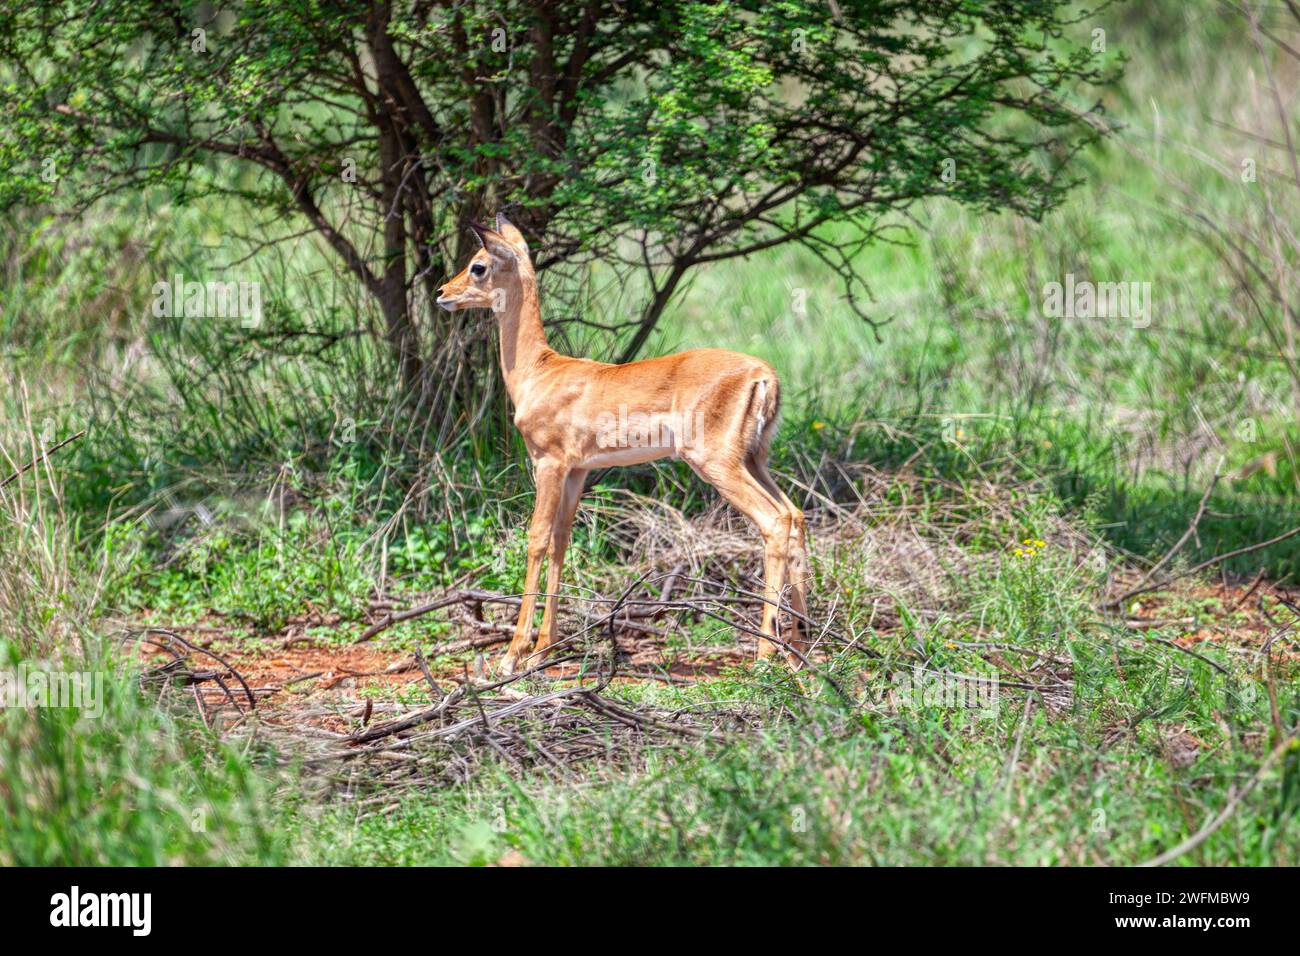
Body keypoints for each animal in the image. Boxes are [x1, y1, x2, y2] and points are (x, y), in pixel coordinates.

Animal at [437, 213, 809, 674]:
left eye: (478, 265)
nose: (442, 293)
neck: (538, 372)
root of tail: (765, 375)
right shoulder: (578, 470)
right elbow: (561, 540)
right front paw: (544, 648)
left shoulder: (549, 464)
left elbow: (537, 538)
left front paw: (513, 655)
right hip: (755, 460)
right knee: (794, 515)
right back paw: (801, 647)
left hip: (717, 463)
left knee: (774, 521)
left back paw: (764, 654)